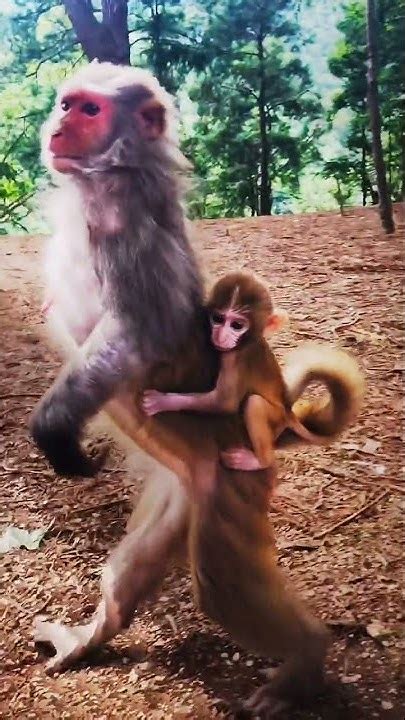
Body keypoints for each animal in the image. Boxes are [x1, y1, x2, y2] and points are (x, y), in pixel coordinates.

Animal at [142, 272, 329, 475]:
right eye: (218, 318)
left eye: (237, 325)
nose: (220, 335)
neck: (248, 342)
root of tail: (288, 411)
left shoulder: (234, 358)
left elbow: (225, 402)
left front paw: (163, 401)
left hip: (276, 419)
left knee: (254, 403)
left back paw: (260, 461)